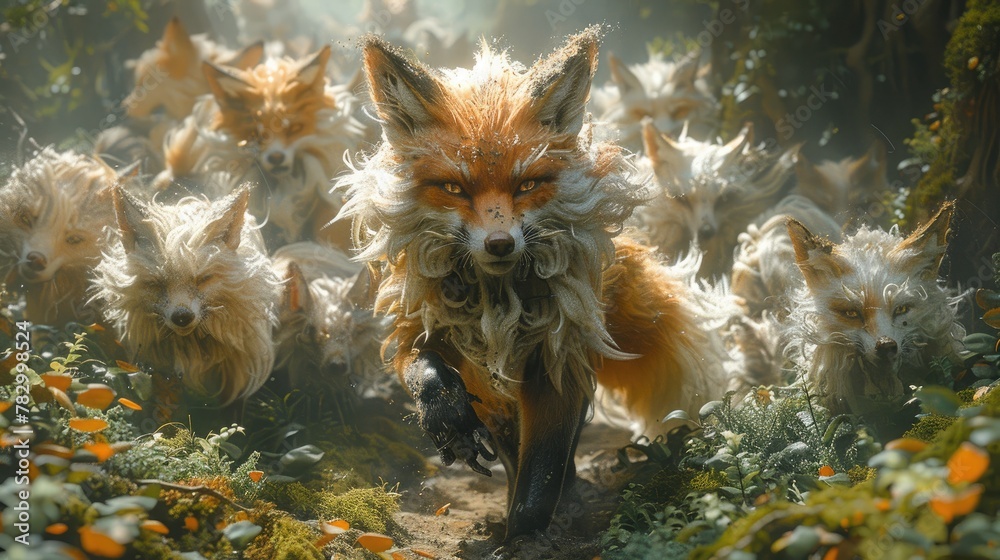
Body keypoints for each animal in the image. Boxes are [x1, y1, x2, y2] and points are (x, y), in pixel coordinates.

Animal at [338, 28, 732, 540]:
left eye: (526, 185)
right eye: (454, 189)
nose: (500, 244)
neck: (497, 307)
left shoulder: (557, 362)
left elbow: (542, 474)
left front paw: (526, 535)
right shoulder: (426, 330)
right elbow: (425, 372)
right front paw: (448, 418)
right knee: (508, 449)